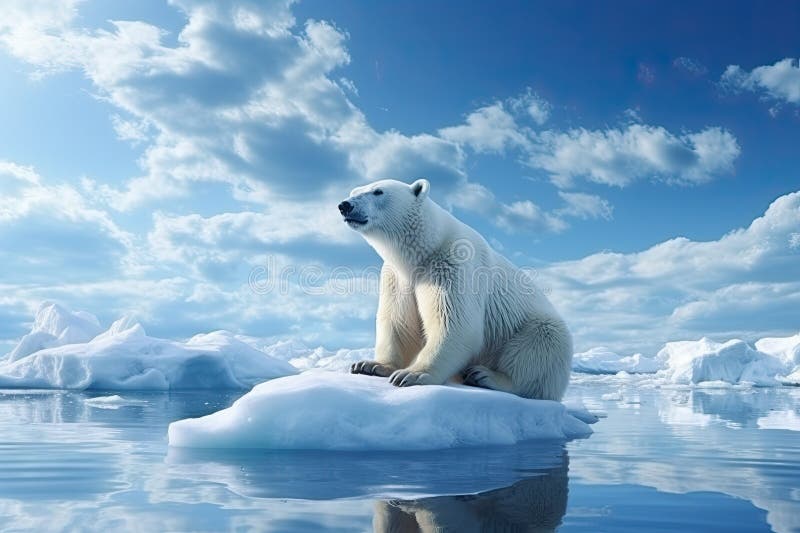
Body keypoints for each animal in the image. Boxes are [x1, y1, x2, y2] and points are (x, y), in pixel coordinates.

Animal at [338, 178, 572, 401]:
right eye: (354, 191)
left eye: (378, 191)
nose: (345, 205)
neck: (427, 249)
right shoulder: (397, 278)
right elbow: (398, 321)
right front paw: (370, 365)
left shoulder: (453, 265)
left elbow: (455, 323)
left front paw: (411, 374)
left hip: (536, 328)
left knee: (539, 347)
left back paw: (486, 376)